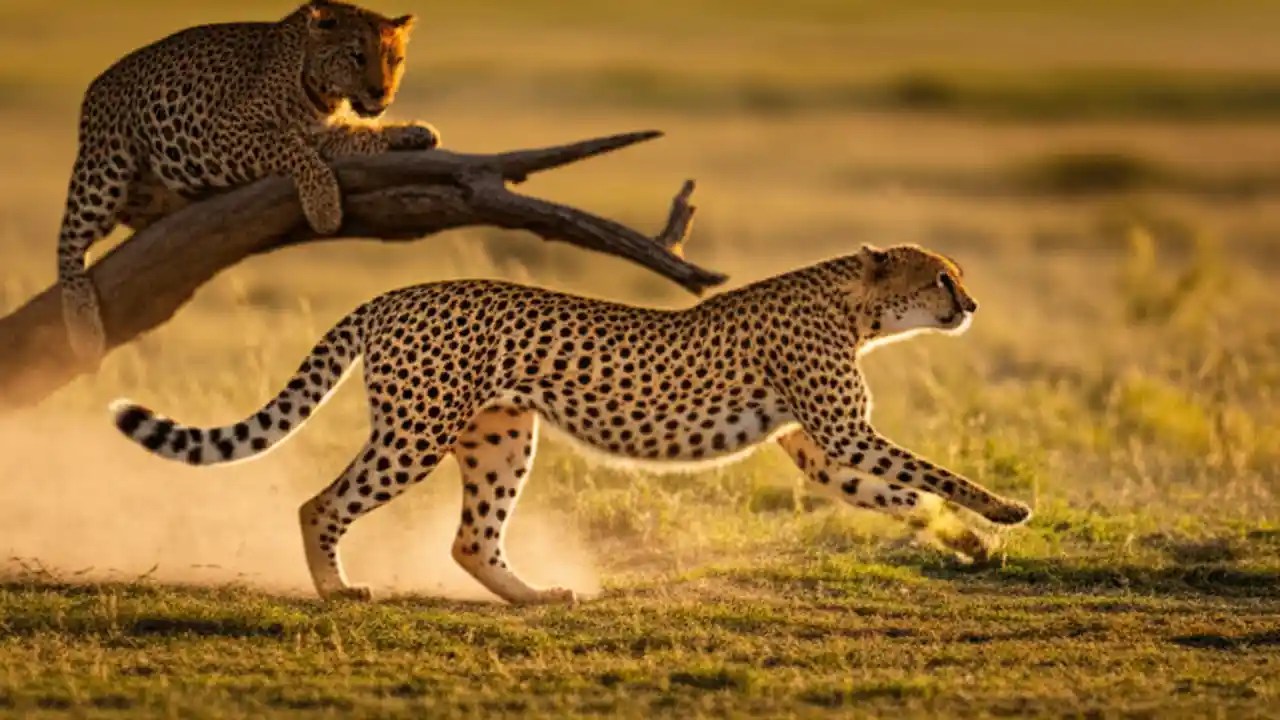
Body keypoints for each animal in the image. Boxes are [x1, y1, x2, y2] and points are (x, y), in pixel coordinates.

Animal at [57, 0, 440, 365]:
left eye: (396, 60)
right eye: (357, 57)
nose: (381, 94)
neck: (321, 94)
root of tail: (96, 86)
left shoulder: (327, 131)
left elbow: (351, 135)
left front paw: (411, 132)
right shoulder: (222, 134)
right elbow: (292, 145)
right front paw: (324, 209)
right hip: (103, 172)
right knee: (69, 243)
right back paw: (82, 328)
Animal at [109, 244, 1033, 604]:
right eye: (942, 278)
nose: (974, 306)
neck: (855, 305)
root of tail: (398, 291)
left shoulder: (823, 449)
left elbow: (907, 495)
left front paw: (972, 543)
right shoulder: (842, 434)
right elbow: (936, 472)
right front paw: (1007, 511)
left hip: (501, 434)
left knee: (470, 539)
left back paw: (535, 595)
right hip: (416, 432)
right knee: (321, 502)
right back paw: (337, 591)